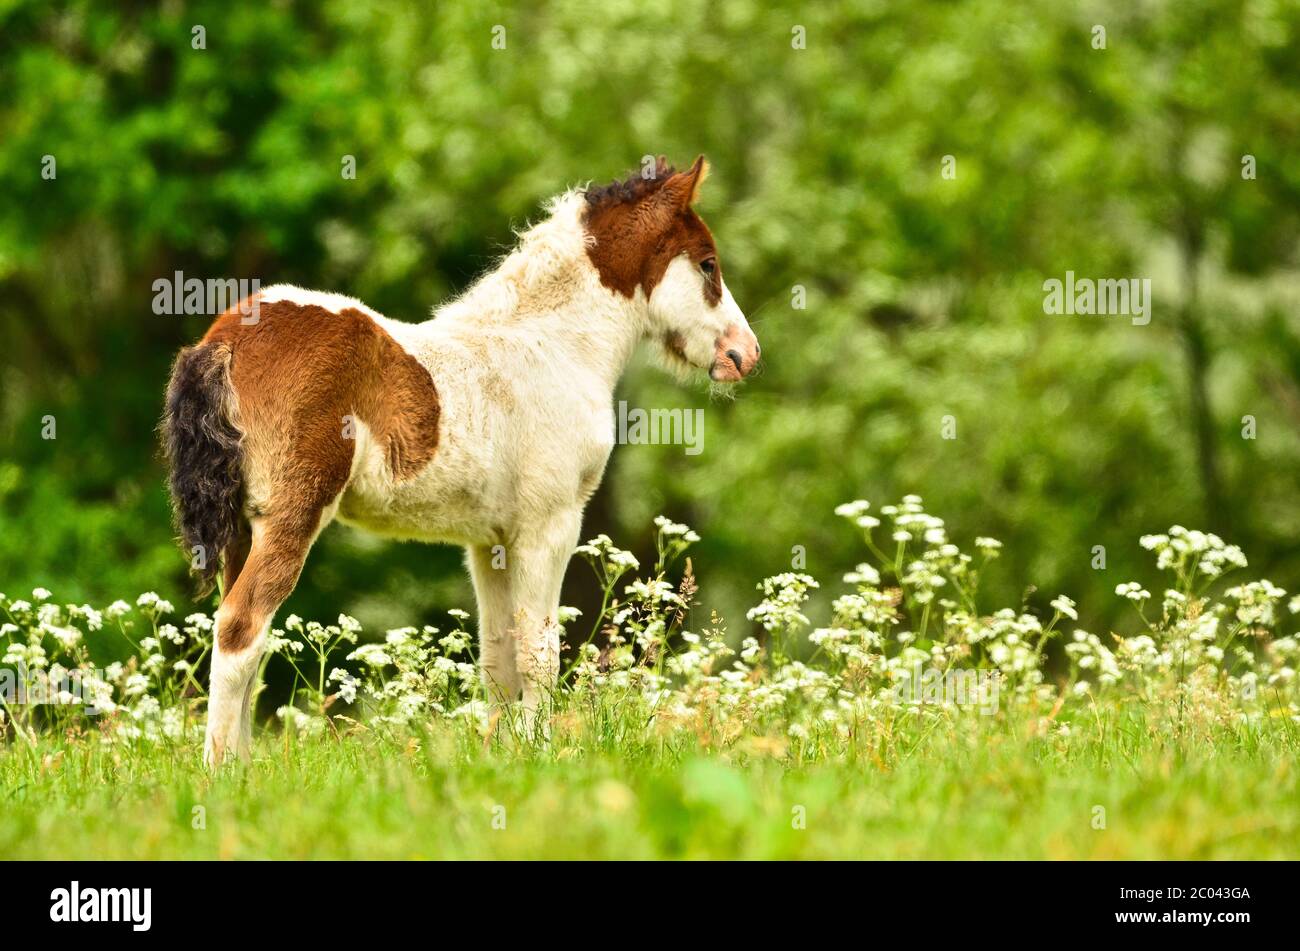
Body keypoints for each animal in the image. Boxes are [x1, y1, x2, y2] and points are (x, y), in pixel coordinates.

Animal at [161, 156, 760, 765]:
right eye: (708, 264)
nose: (745, 353)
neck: (551, 346)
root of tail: (226, 339)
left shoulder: (490, 542)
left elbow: (499, 656)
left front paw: (505, 756)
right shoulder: (550, 525)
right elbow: (539, 652)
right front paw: (542, 754)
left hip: (241, 531)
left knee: (240, 635)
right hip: (292, 514)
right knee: (242, 628)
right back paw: (221, 772)